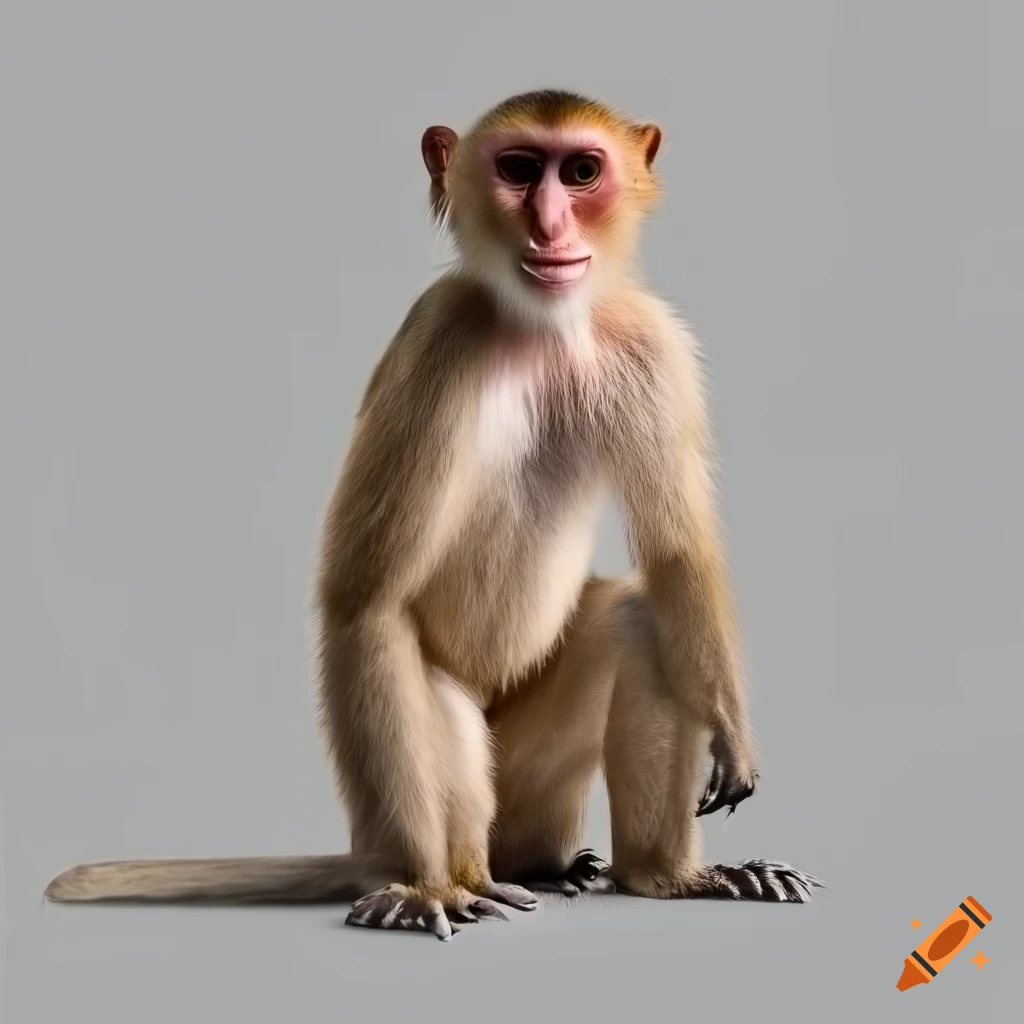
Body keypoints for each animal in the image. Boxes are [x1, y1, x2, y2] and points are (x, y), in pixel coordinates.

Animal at [45, 90, 824, 939]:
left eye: (582, 173)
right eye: (519, 169)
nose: (550, 225)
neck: (543, 330)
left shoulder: (651, 345)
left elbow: (677, 554)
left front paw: (730, 735)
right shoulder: (440, 335)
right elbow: (364, 598)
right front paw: (426, 890)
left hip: (531, 790)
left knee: (638, 615)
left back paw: (652, 875)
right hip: (445, 779)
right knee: (432, 689)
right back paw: (447, 879)